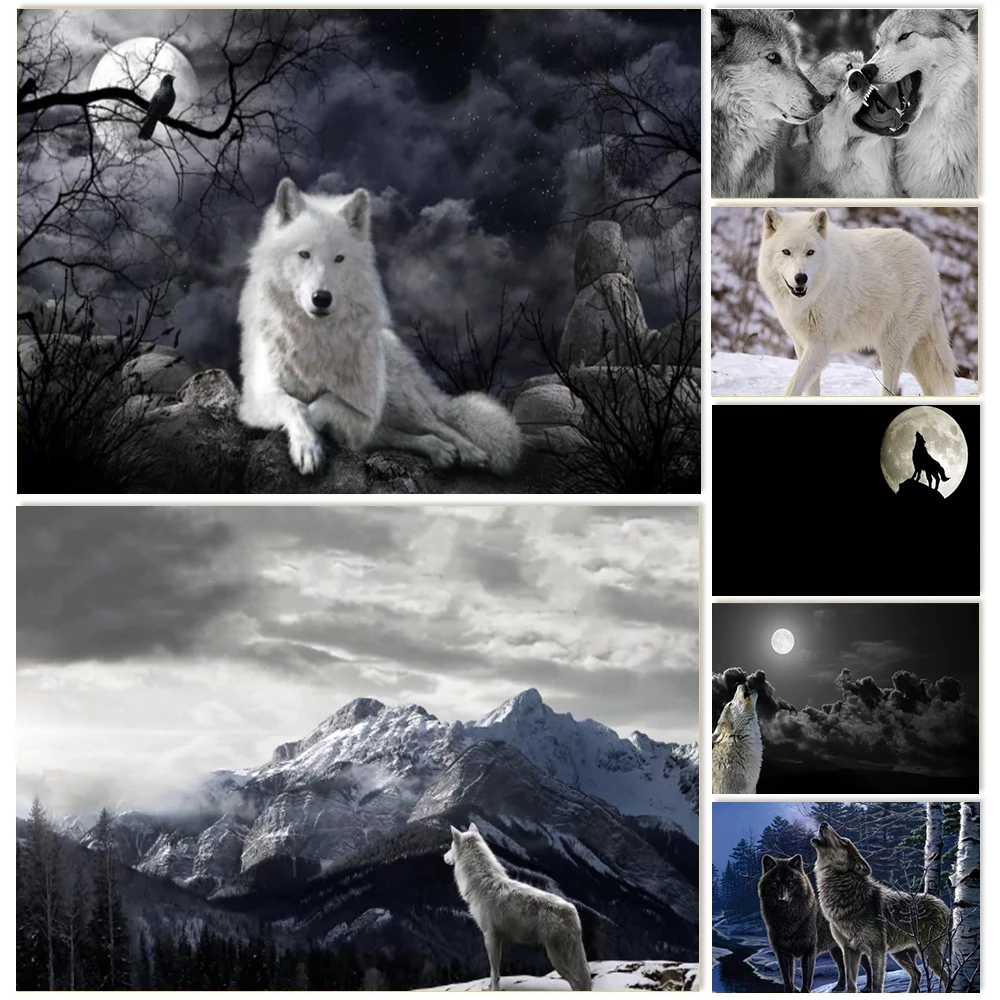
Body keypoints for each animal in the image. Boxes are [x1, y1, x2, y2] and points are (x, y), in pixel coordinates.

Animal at [238, 178, 522, 477]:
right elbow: (294, 404)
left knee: (438, 423)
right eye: (304, 254)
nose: (322, 298)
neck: (315, 337)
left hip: (402, 401)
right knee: (404, 436)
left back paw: (470, 452)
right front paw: (308, 447)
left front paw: (315, 432)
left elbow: (327, 403)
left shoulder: (364, 408)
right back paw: (440, 451)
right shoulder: (256, 399)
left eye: (339, 258)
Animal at [444, 823, 592, 992]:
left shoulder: (490, 937)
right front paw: (489, 987)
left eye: (450, 847)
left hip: (558, 960)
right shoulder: (497, 940)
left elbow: (494, 972)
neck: (482, 882)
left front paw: (494, 990)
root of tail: (572, 910)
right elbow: (495, 972)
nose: (443, 856)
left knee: (578, 983)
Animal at [757, 209, 957, 397]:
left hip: (892, 346)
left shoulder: (820, 344)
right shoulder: (801, 343)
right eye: (786, 252)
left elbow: (794, 384)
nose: (801, 278)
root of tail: (928, 258)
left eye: (810, 252)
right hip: (910, 355)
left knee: (890, 388)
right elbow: (810, 388)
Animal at [759, 854, 874, 993]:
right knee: (842, 968)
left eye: (790, 883)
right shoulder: (782, 953)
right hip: (836, 951)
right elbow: (788, 981)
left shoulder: (809, 951)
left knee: (868, 966)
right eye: (774, 883)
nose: (782, 899)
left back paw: (868, 988)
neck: (788, 920)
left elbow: (806, 981)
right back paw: (839, 988)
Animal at [812, 823, 950, 993]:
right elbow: (851, 983)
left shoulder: (877, 949)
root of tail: (944, 906)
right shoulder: (849, 949)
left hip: (928, 955)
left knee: (946, 975)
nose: (823, 823)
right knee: (917, 973)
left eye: (843, 841)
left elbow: (877, 984)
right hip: (900, 954)